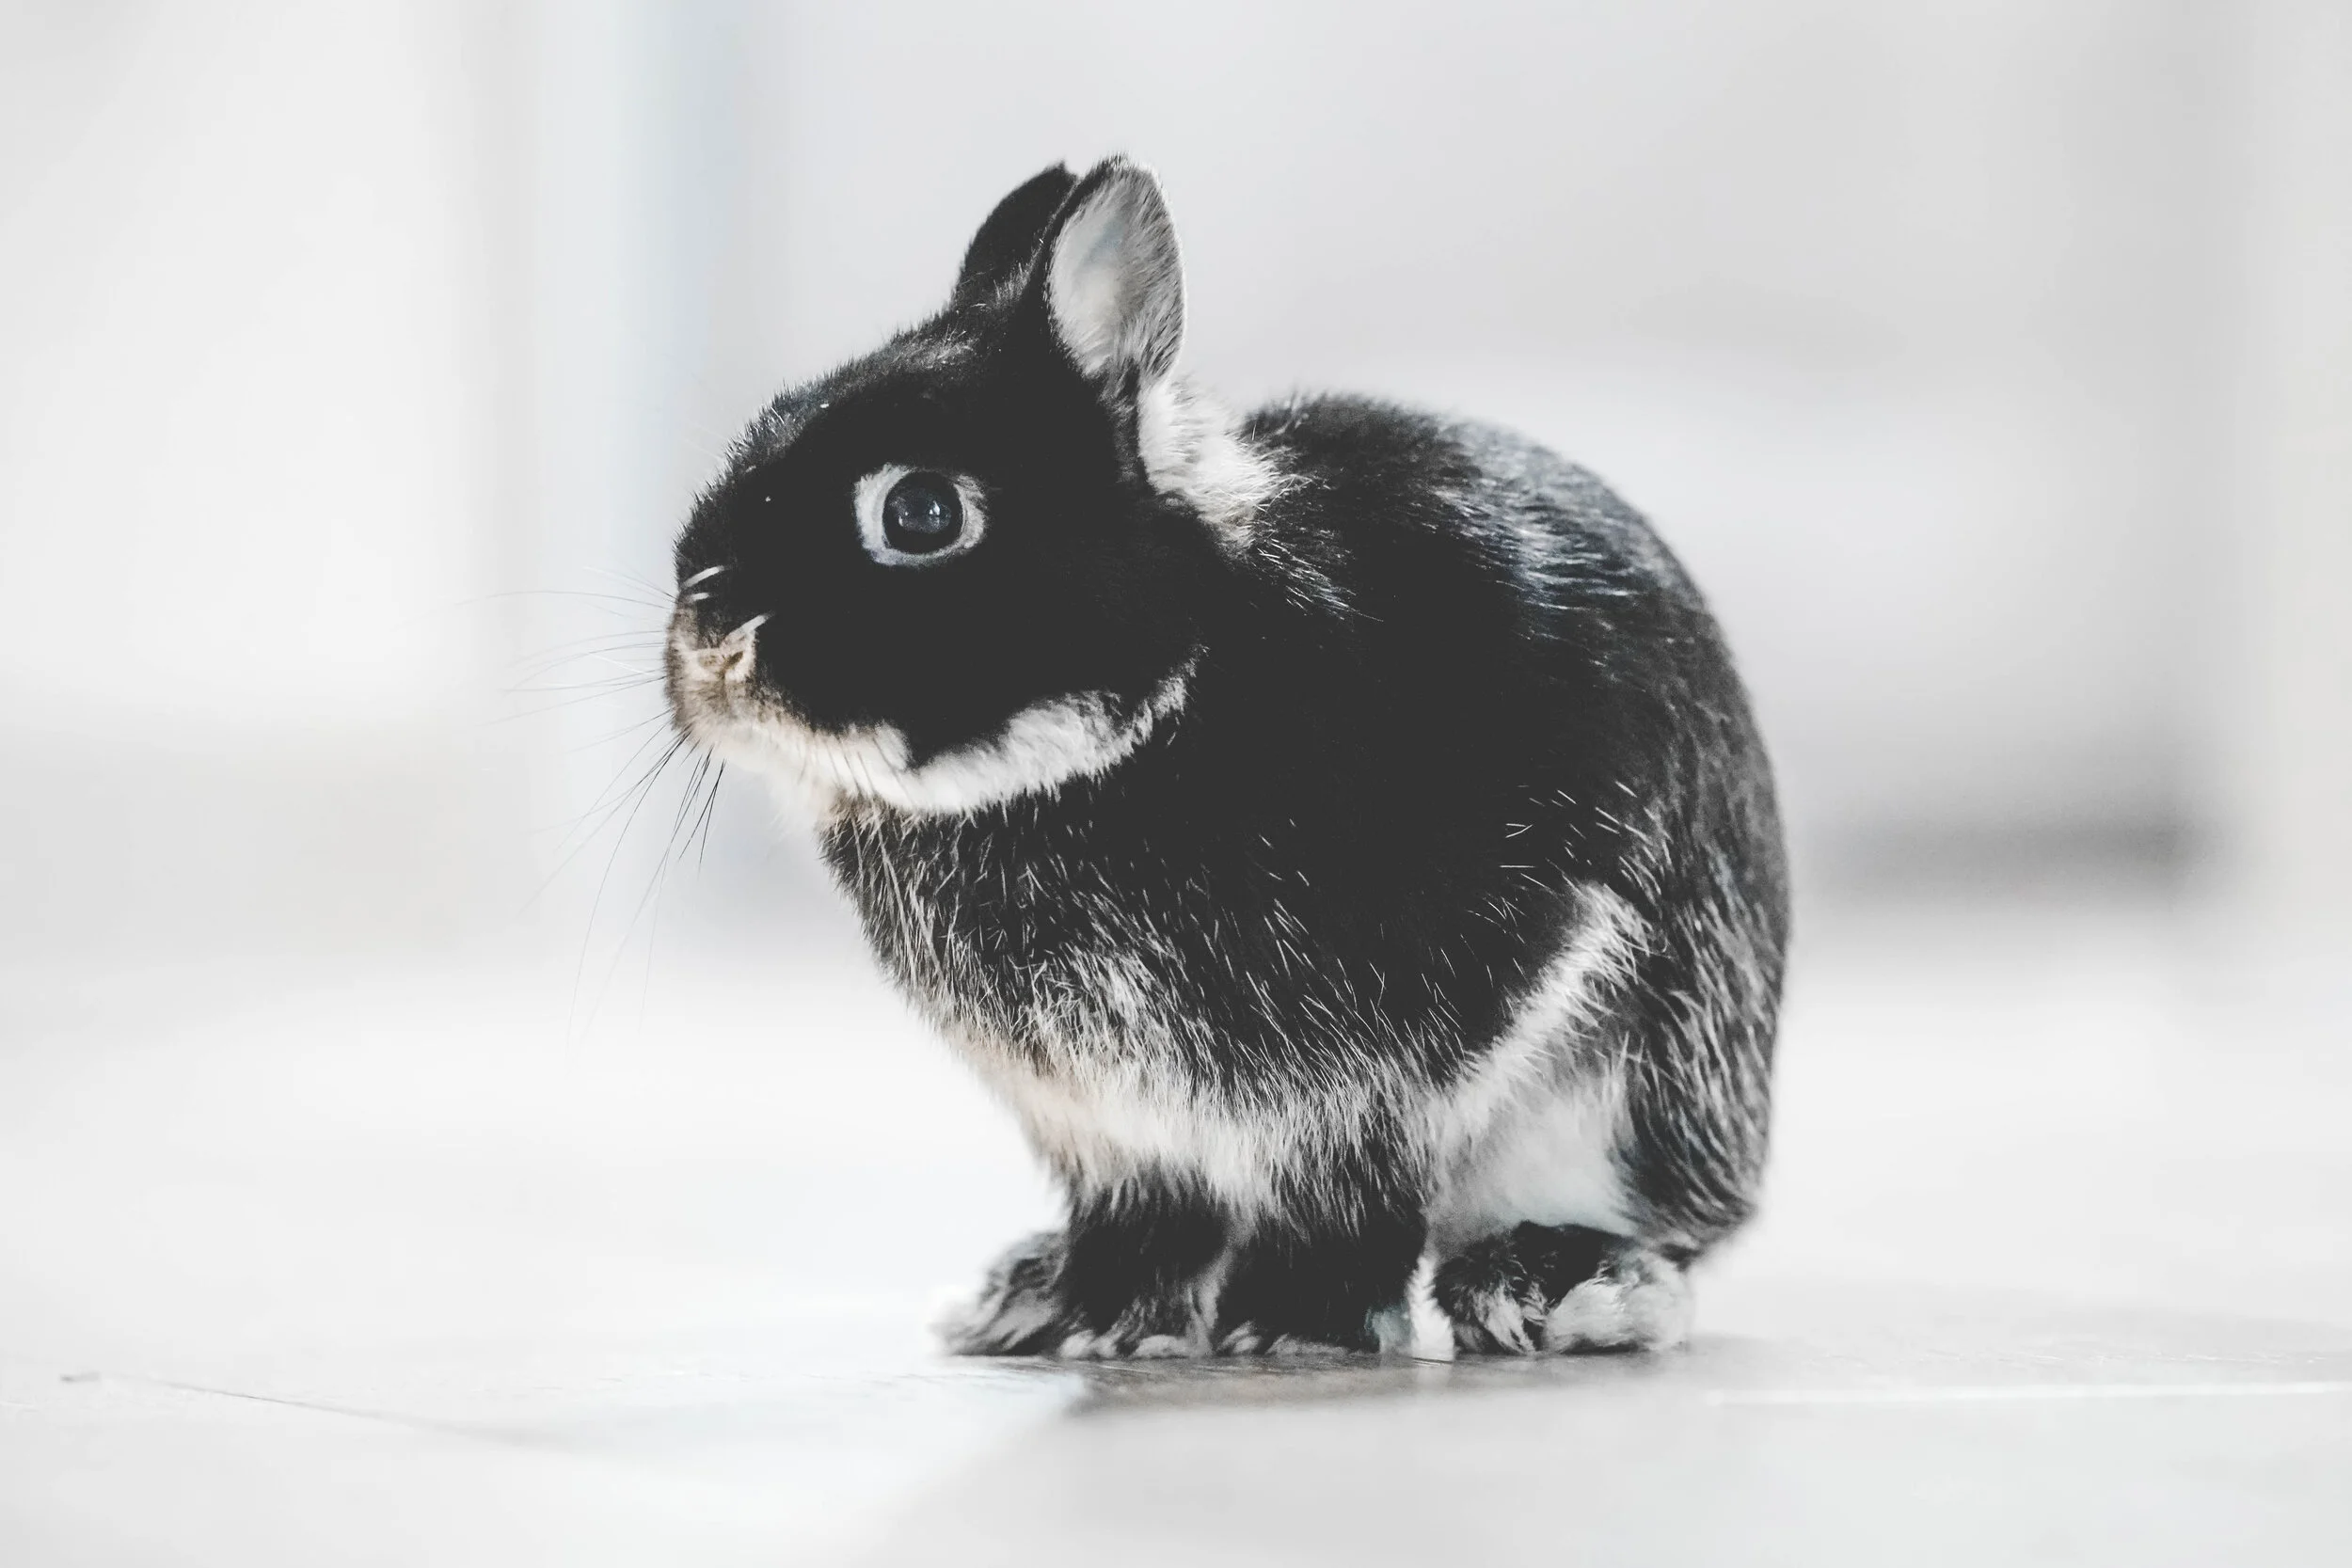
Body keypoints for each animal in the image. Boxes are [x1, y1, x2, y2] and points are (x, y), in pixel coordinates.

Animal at [665, 157, 1788, 1358]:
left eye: (920, 510)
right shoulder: (1109, 1127)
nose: (710, 635)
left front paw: (1295, 1326)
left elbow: (1350, 1189)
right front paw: (1091, 1318)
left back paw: (1549, 1284)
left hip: (1637, 1088)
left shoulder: (1405, 1055)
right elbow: (1146, 1217)